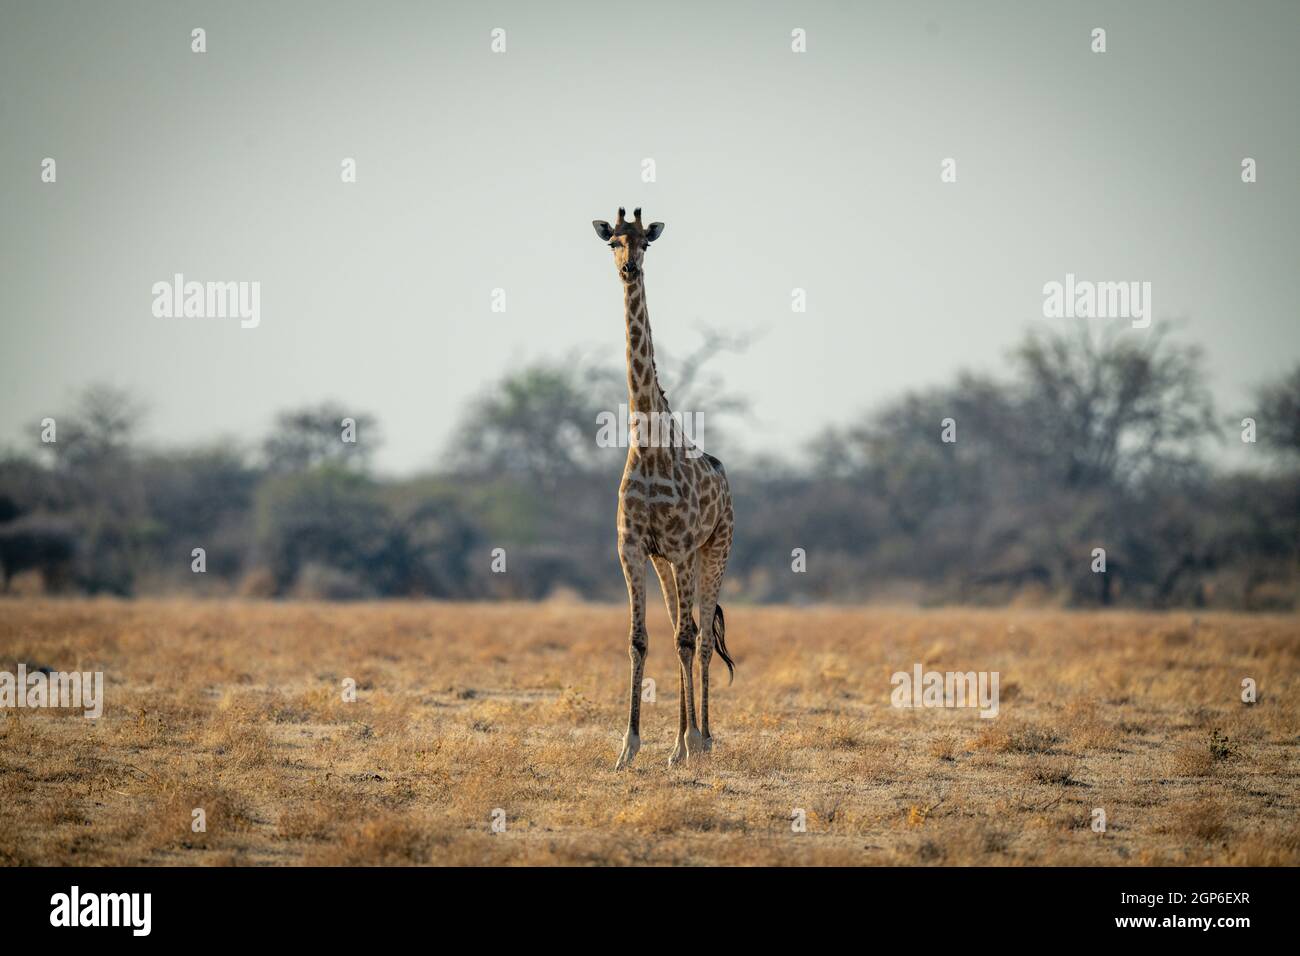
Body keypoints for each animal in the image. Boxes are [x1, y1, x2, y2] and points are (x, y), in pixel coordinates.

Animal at [591, 206, 736, 770]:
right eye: (612, 240)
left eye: (645, 244)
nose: (628, 268)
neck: (647, 444)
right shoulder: (634, 547)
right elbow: (639, 639)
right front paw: (628, 747)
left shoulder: (678, 547)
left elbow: (688, 638)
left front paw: (693, 740)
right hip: (671, 562)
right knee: (683, 629)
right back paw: (678, 744)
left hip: (713, 550)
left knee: (699, 638)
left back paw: (702, 738)